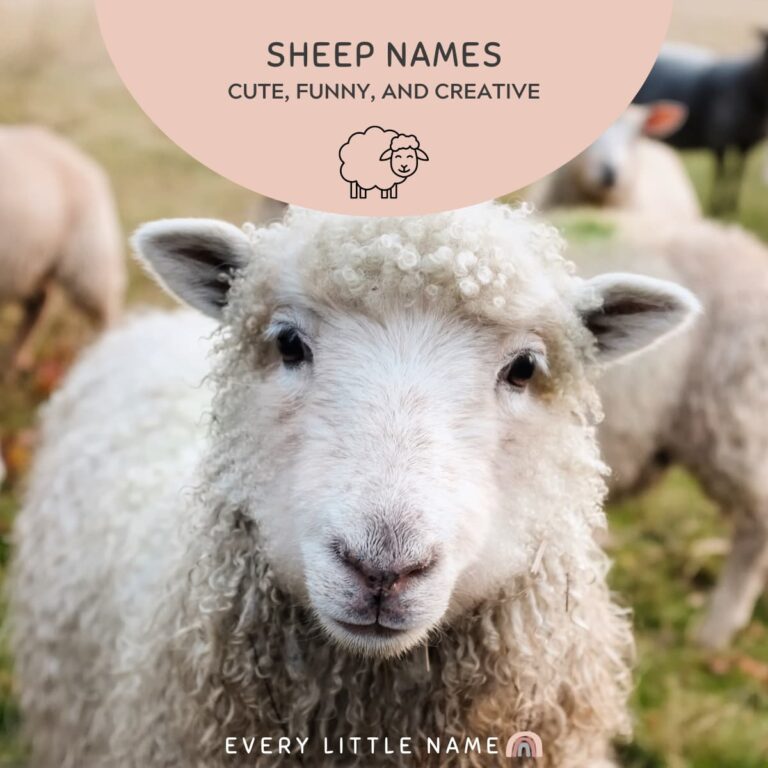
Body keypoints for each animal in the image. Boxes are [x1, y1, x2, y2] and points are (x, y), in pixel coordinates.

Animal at [634, 34, 768, 214]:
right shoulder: (719, 141)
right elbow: (722, 174)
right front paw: (717, 206)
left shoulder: (745, 144)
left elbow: (736, 174)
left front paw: (730, 206)